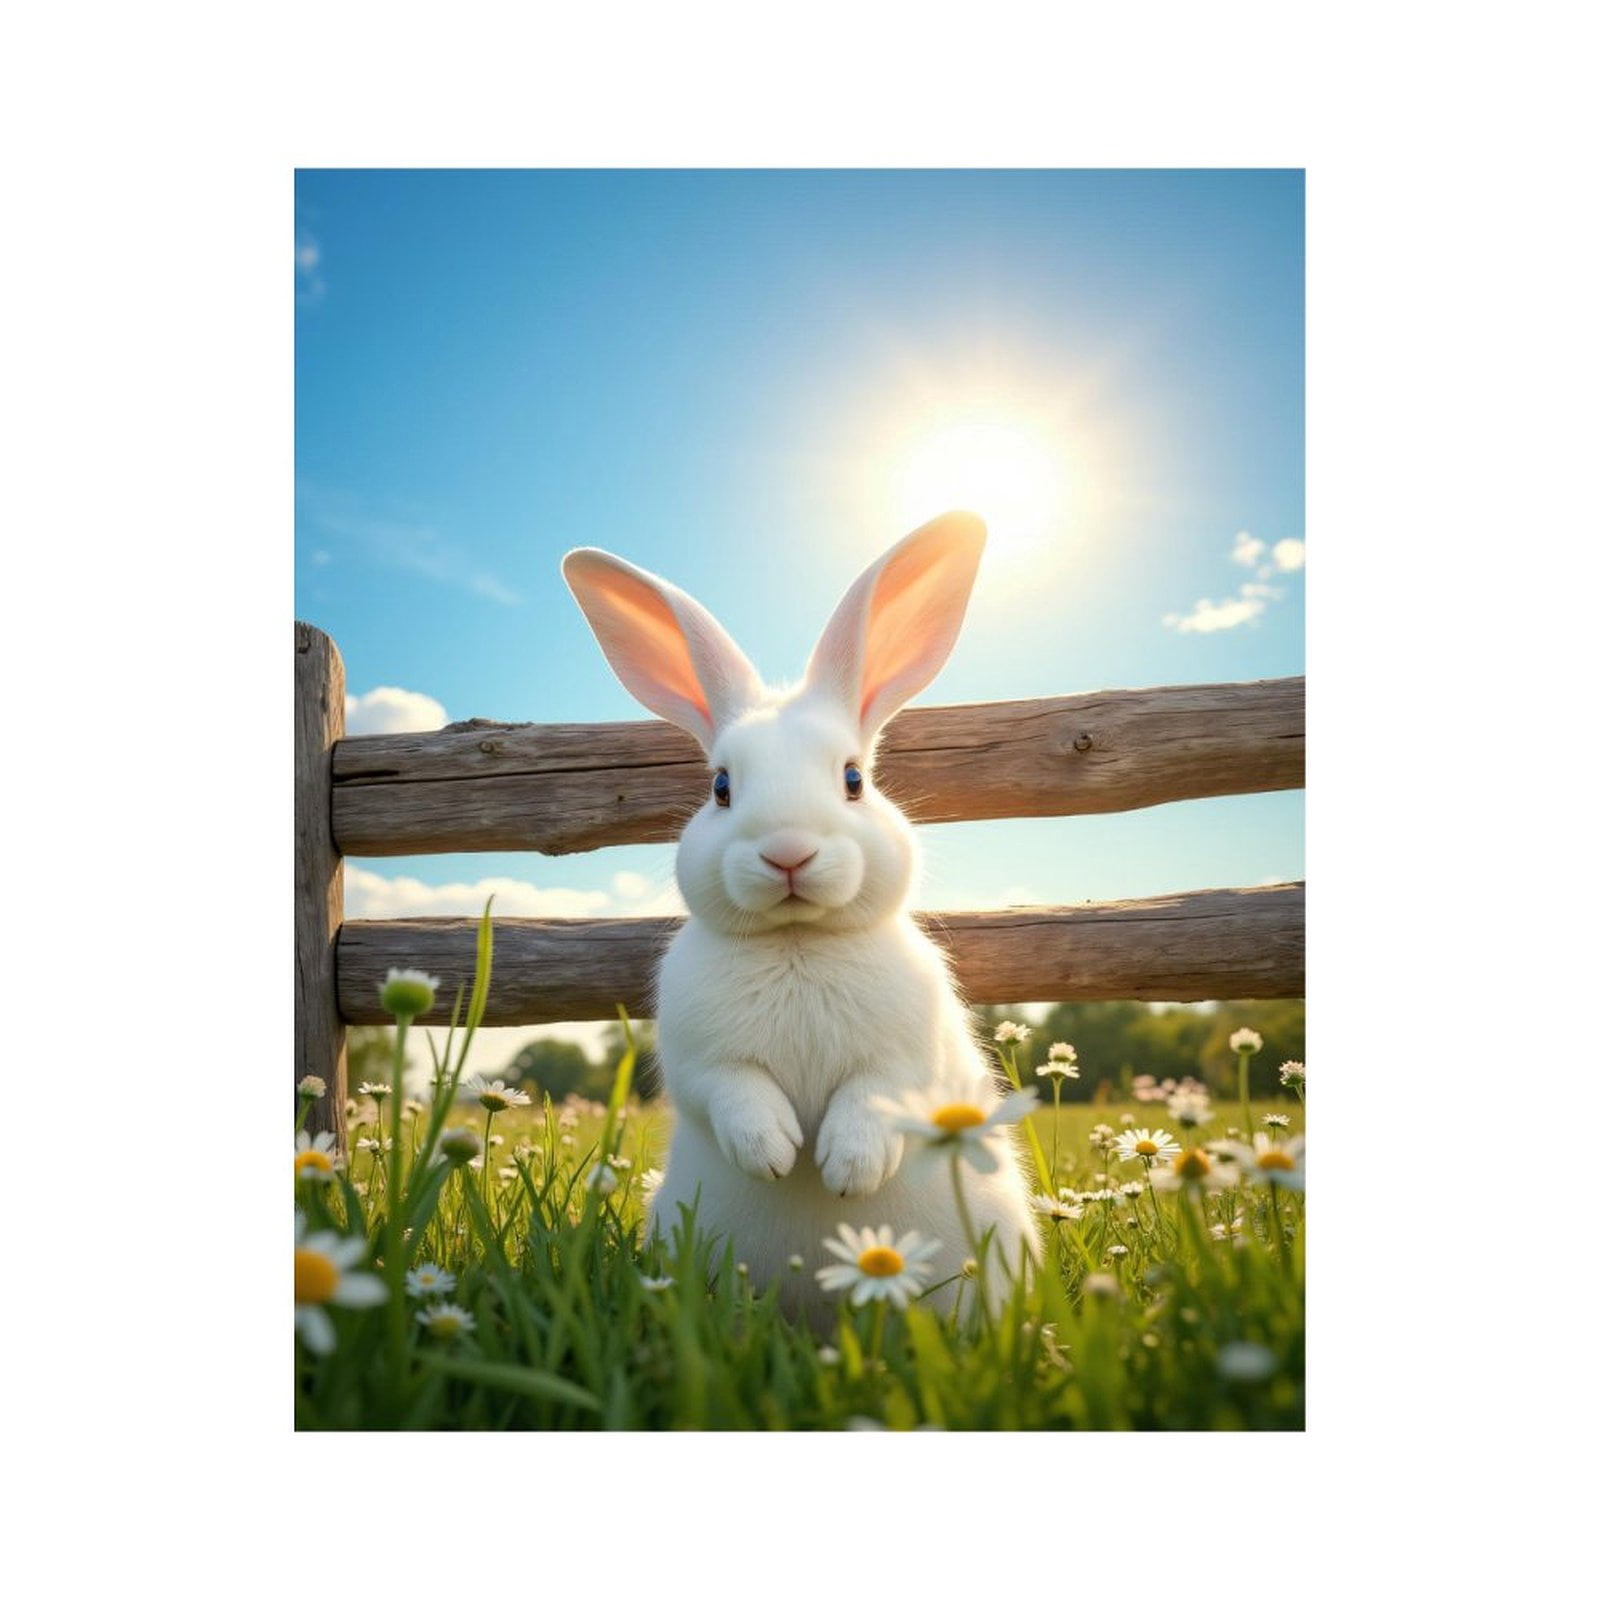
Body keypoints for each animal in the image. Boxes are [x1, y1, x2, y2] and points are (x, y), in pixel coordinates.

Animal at [561, 511, 1039, 1323]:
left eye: (853, 780)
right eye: (721, 787)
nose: (788, 852)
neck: (798, 943)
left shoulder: (908, 1058)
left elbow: (876, 1094)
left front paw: (849, 1168)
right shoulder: (701, 1060)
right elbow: (732, 1090)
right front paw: (774, 1152)